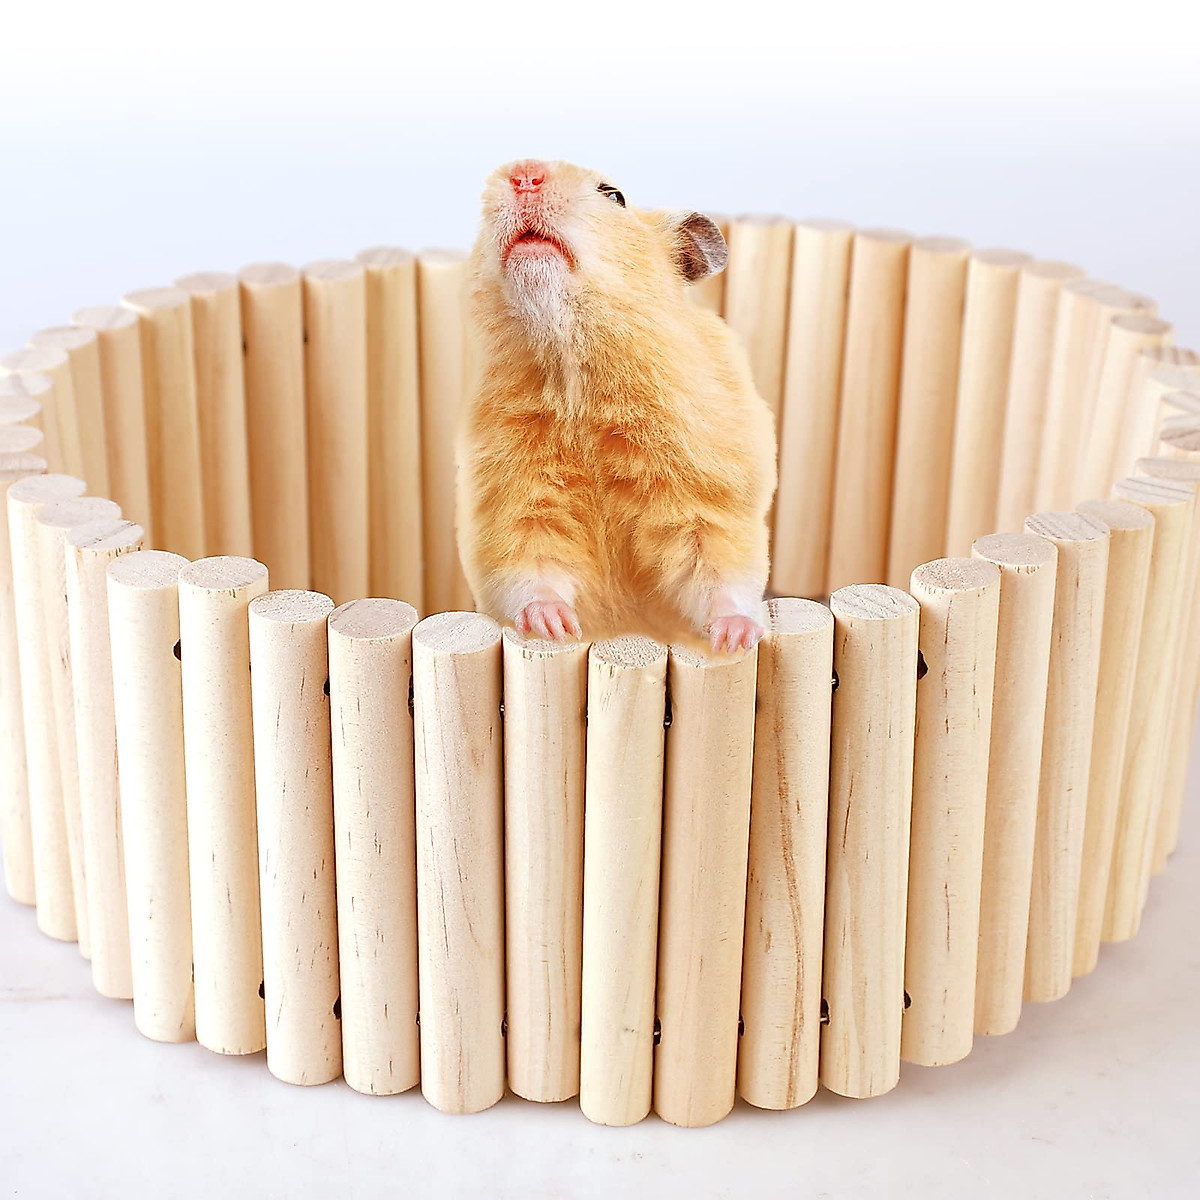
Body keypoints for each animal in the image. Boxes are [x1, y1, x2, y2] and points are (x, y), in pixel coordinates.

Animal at [455, 158, 778, 655]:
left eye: (614, 195)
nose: (524, 172)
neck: (574, 372)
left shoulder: (708, 498)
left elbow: (720, 571)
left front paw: (735, 640)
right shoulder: (516, 504)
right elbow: (532, 568)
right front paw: (555, 627)